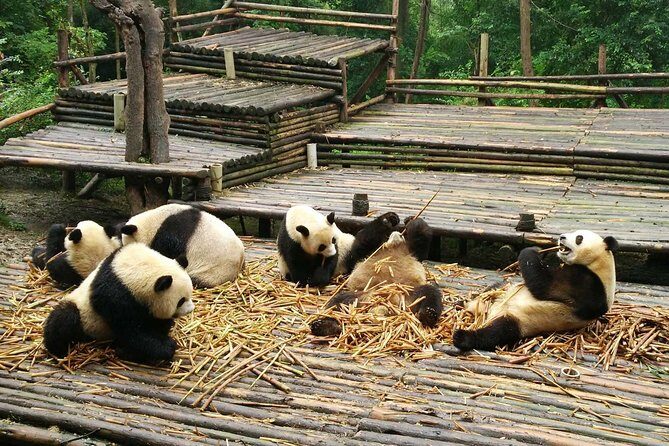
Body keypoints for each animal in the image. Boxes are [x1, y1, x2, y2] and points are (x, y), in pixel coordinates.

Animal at [43, 243, 194, 364]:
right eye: (180, 301)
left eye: (190, 293)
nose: (190, 309)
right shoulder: (115, 297)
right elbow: (132, 329)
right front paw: (167, 347)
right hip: (83, 315)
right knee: (64, 318)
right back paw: (58, 350)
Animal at [310, 217, 443, 337]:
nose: (397, 233)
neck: (393, 246)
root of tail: (388, 303)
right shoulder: (369, 252)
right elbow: (361, 244)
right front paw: (389, 219)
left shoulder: (413, 252)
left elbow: (421, 240)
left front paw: (411, 221)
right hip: (360, 297)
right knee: (337, 303)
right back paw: (325, 326)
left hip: (409, 293)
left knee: (431, 294)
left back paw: (428, 315)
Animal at [453, 230, 618, 352]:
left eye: (579, 238)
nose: (562, 237)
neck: (598, 264)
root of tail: (488, 312)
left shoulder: (586, 284)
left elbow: (545, 285)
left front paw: (532, 250)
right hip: (503, 293)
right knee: (495, 288)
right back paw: (461, 303)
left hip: (519, 320)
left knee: (497, 332)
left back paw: (462, 337)